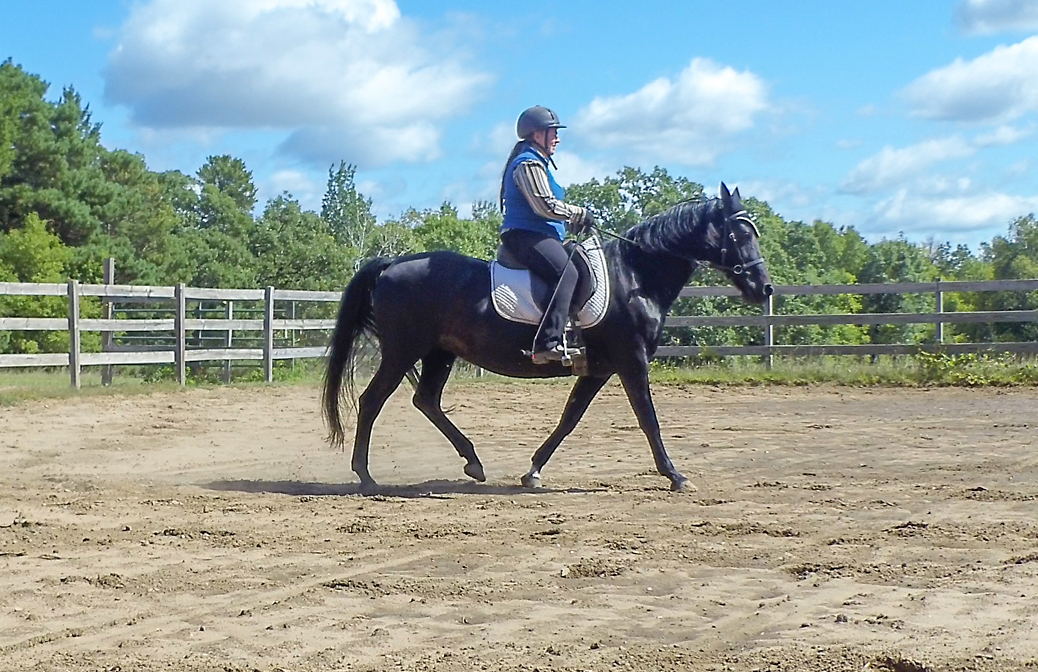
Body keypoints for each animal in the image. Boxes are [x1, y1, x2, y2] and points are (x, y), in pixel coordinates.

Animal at [323, 183, 773, 492]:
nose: (764, 287)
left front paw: (533, 471)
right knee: (372, 400)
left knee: (426, 401)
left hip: (439, 353)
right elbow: (649, 420)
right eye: (738, 235)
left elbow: (569, 418)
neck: (635, 277)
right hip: (403, 352)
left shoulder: (598, 370)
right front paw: (676, 476)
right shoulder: (632, 362)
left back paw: (473, 462)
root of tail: (391, 264)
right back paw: (365, 476)